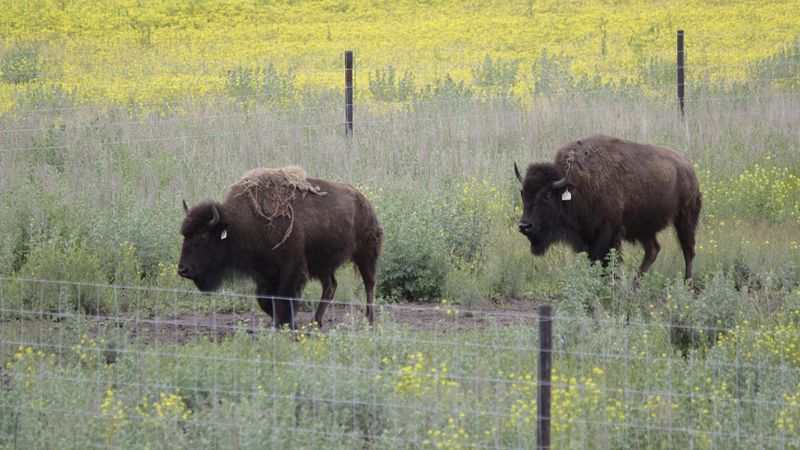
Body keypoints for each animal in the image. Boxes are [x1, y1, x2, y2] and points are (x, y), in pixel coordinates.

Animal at [178, 167, 383, 330]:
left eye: (203, 236)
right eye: (185, 236)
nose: (182, 269)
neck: (241, 224)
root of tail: (364, 201)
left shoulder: (290, 270)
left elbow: (284, 301)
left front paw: (288, 327)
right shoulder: (266, 273)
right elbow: (265, 302)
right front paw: (288, 326)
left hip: (365, 253)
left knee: (369, 284)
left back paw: (370, 321)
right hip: (324, 263)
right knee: (331, 286)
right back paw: (314, 324)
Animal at [515, 134, 702, 280]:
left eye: (546, 195)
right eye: (523, 193)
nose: (524, 226)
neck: (576, 186)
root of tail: (687, 164)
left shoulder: (607, 234)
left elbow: (605, 263)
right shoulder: (586, 238)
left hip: (685, 218)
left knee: (688, 250)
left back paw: (688, 285)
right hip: (645, 227)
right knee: (653, 250)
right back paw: (633, 287)